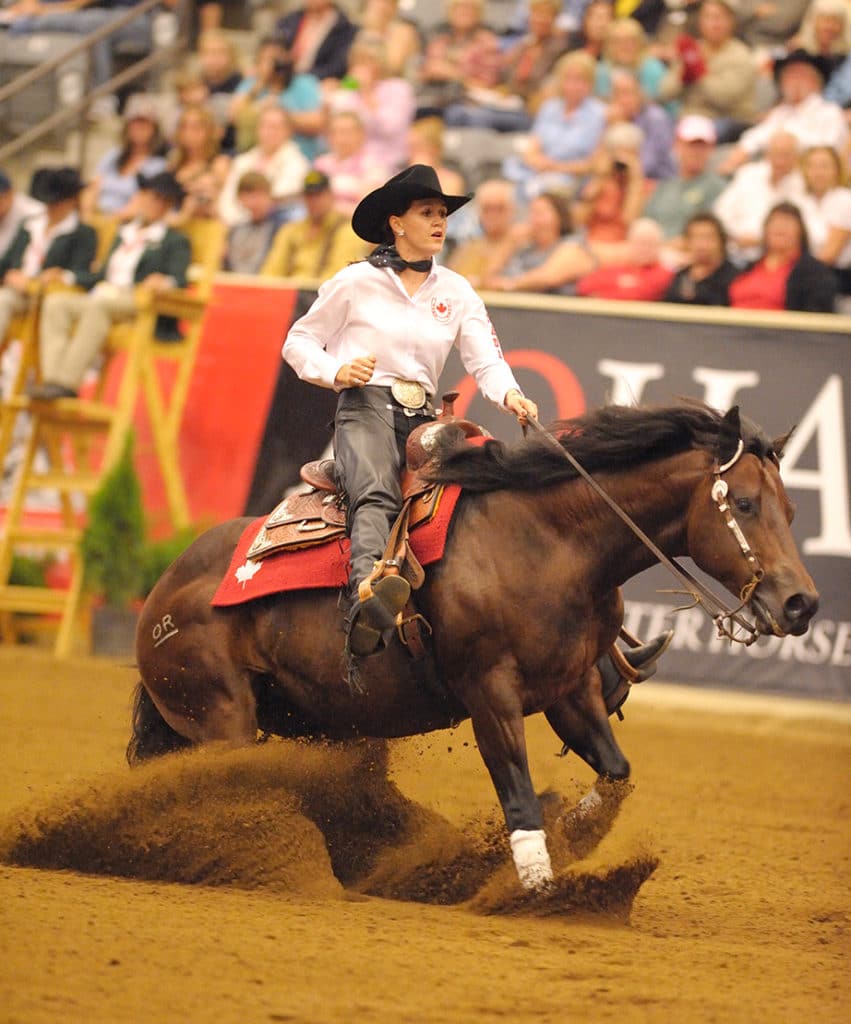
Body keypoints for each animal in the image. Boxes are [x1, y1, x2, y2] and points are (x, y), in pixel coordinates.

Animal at [130, 402, 818, 890]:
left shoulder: (570, 688)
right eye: (746, 504)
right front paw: (538, 888)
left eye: (789, 508)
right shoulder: (490, 693)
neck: (550, 540)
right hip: (222, 719)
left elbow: (616, 775)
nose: (801, 604)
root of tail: (162, 590)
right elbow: (517, 795)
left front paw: (568, 831)